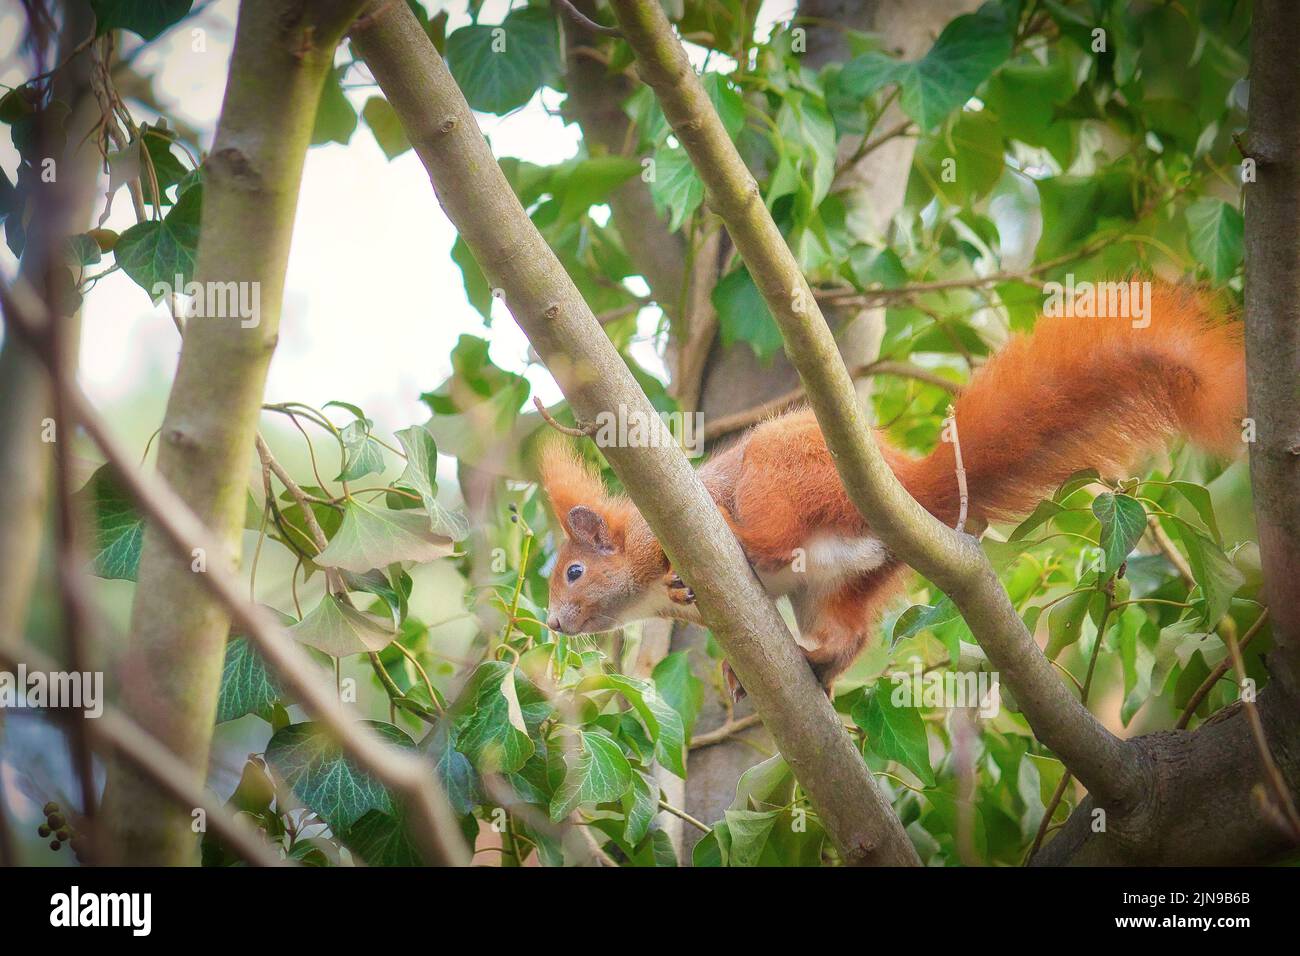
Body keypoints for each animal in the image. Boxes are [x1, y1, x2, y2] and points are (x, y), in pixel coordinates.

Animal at [540, 283, 1246, 697]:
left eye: (574, 572)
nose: (551, 622)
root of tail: (900, 485)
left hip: (780, 477)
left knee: (774, 536)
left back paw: (744, 542)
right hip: (841, 583)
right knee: (848, 635)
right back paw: (814, 665)